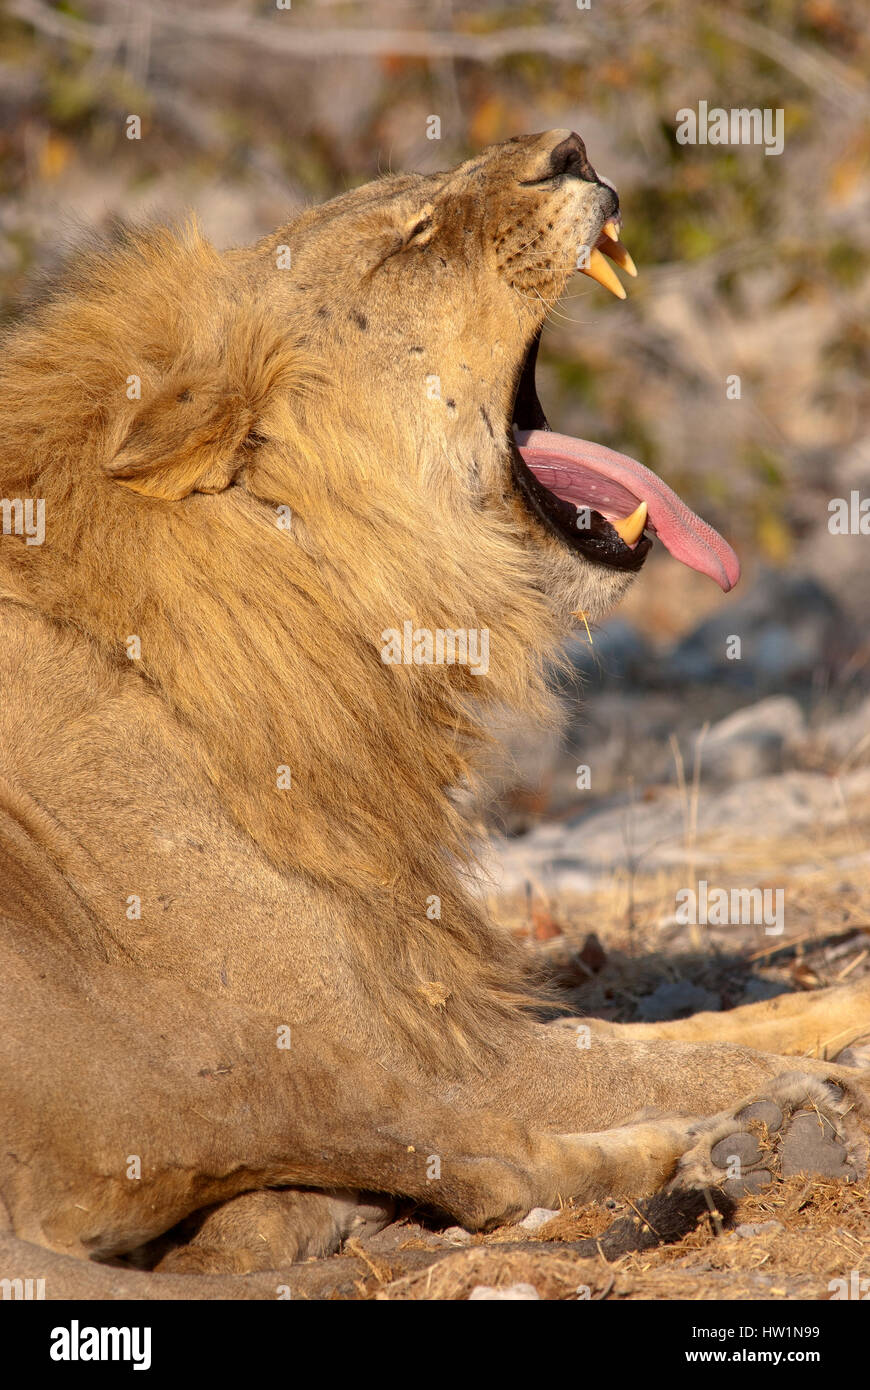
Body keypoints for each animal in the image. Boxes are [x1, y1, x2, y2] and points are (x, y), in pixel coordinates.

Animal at [0, 130, 868, 1298]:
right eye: (411, 239)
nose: (569, 147)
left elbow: (717, 1017)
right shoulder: (409, 1042)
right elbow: (678, 1052)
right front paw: (803, 1089)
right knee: (484, 1166)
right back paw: (740, 1138)